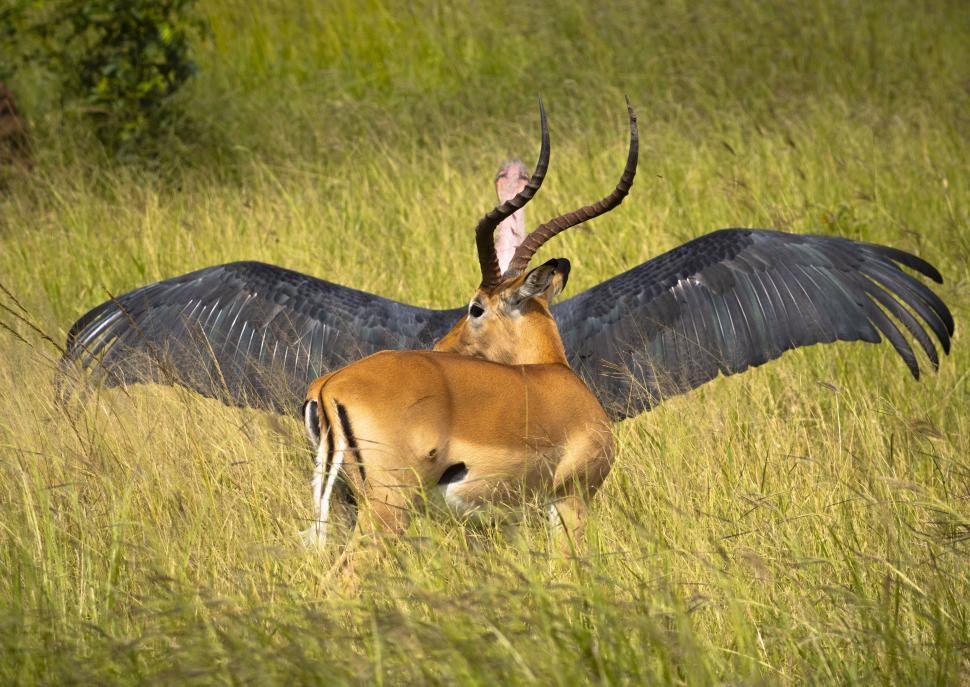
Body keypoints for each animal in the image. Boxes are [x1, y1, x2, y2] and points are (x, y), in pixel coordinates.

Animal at [302, 101, 638, 557]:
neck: (555, 377)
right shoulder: (570, 500)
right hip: (386, 510)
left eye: (475, 308)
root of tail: (329, 385)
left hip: (339, 507)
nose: (442, 346)